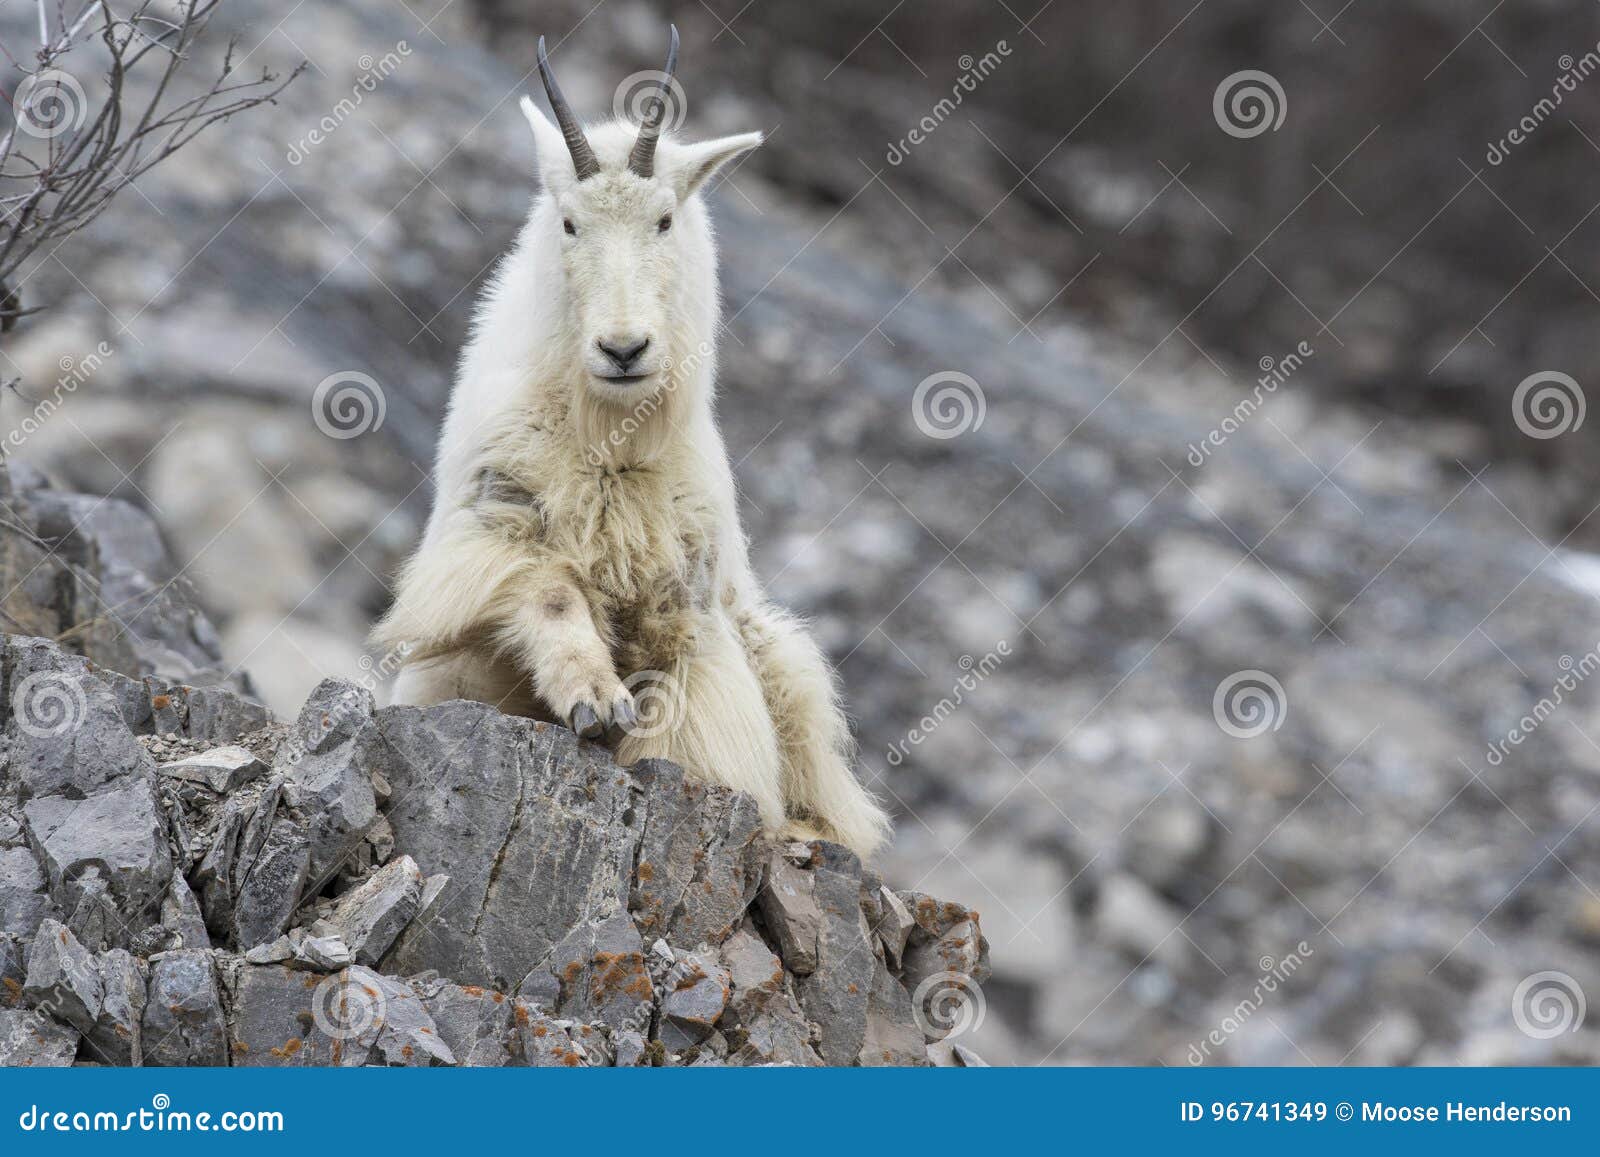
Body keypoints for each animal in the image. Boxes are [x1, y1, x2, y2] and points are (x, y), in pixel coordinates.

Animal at [374, 28, 891, 858]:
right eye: (569, 223)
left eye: (665, 220)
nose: (624, 349)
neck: (611, 437)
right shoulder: (488, 527)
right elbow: (544, 587)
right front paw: (592, 696)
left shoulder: (688, 609)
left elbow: (684, 717)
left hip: (777, 654)